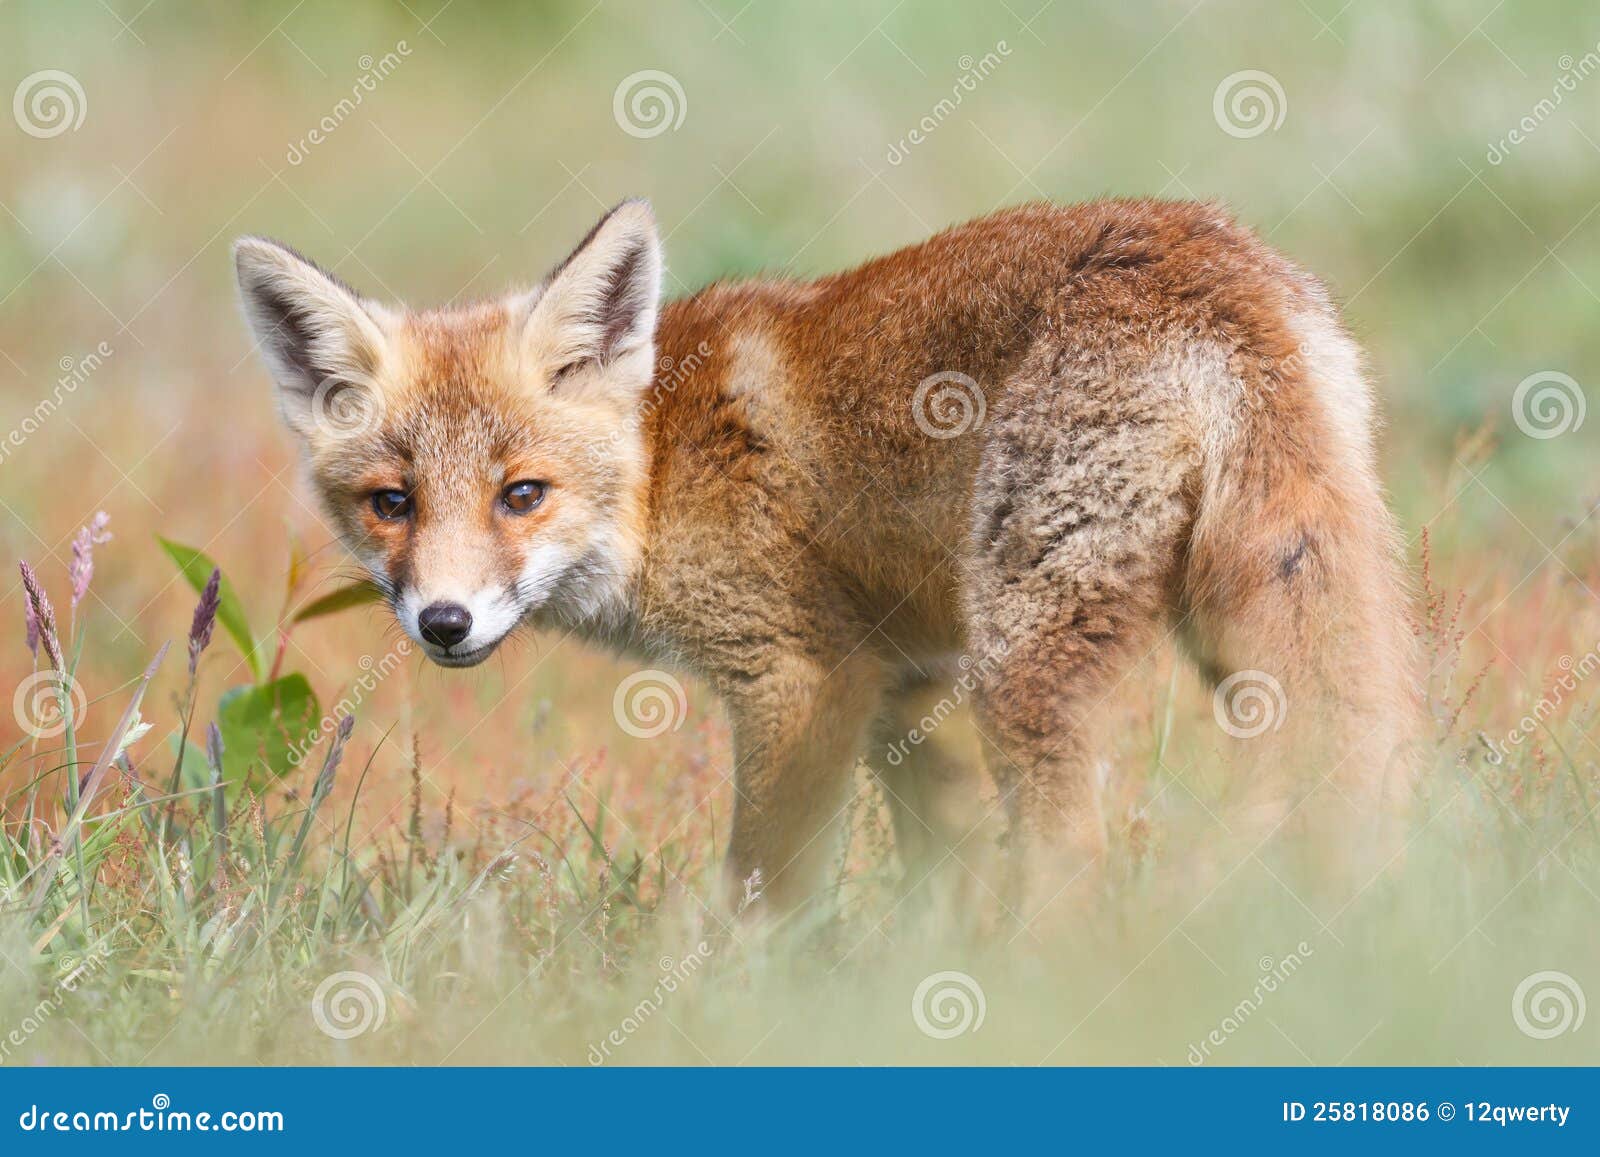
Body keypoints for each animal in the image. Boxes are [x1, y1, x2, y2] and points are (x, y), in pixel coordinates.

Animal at [233, 197, 1420, 922]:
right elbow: (939, 876)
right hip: (1258, 630)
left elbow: (767, 896)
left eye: (521, 494)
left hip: (1029, 663)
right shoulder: (904, 691)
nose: (443, 622)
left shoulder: (802, 678)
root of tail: (1203, 256)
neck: (660, 474)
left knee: (1071, 860)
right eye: (392, 504)